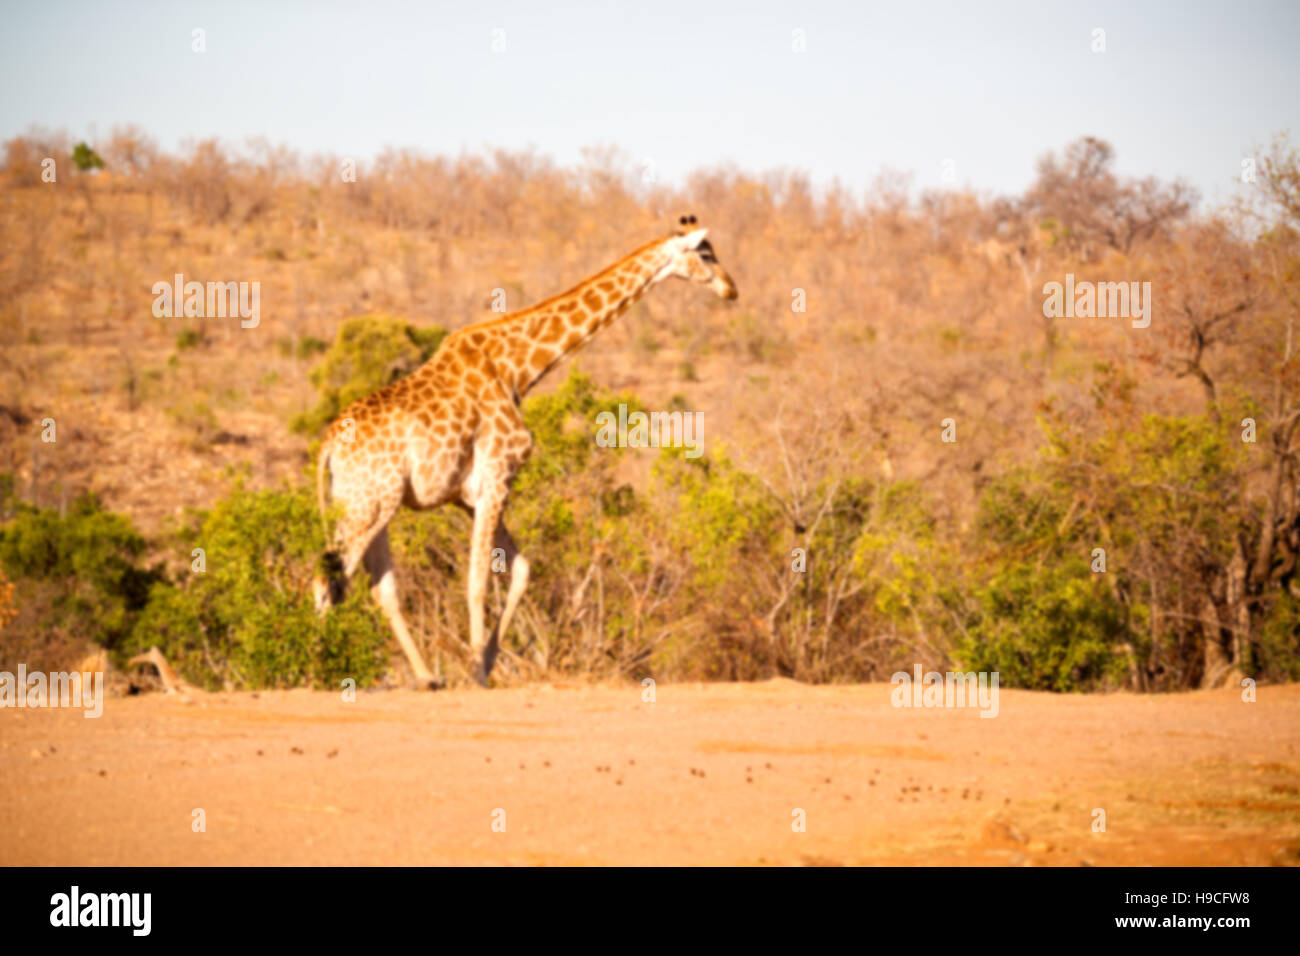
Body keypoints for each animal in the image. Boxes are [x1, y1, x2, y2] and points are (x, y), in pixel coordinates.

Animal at [312, 215, 738, 686]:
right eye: (706, 253)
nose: (731, 289)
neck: (517, 368)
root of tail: (328, 445)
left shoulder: (471, 495)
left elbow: (521, 570)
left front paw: (487, 660)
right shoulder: (497, 476)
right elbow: (479, 578)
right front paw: (477, 669)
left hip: (373, 505)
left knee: (375, 587)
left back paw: (424, 678)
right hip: (367, 504)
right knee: (329, 580)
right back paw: (318, 671)